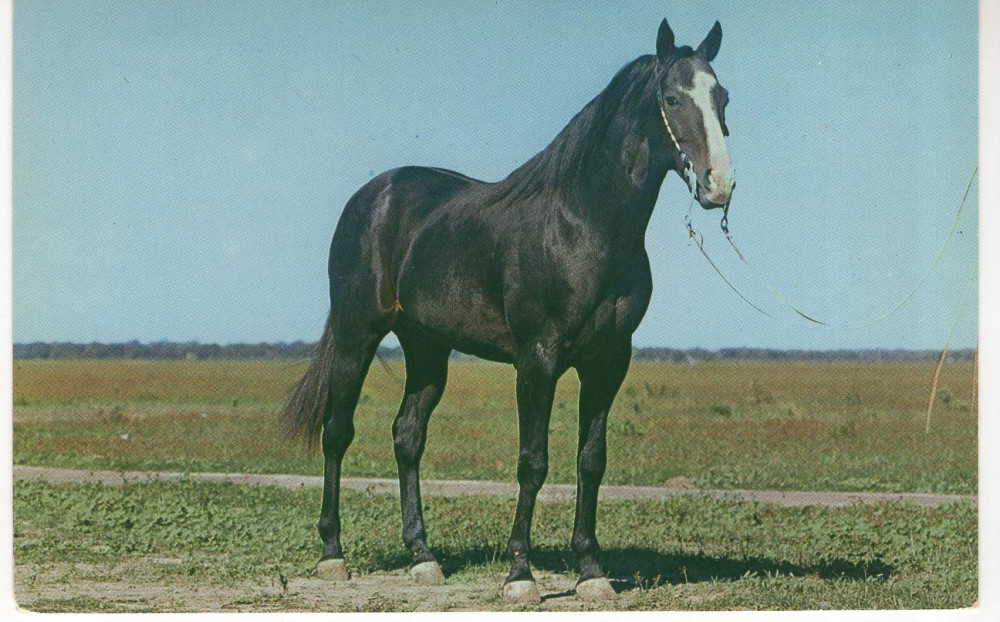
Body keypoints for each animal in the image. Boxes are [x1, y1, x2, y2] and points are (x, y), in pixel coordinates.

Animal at [279, 17, 735, 603]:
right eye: (673, 98)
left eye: (723, 98)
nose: (718, 184)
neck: (584, 225)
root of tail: (372, 196)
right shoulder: (536, 359)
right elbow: (532, 462)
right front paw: (521, 574)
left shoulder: (609, 361)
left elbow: (591, 461)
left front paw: (591, 571)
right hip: (358, 333)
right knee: (337, 432)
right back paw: (332, 555)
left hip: (427, 347)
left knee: (407, 437)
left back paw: (423, 558)